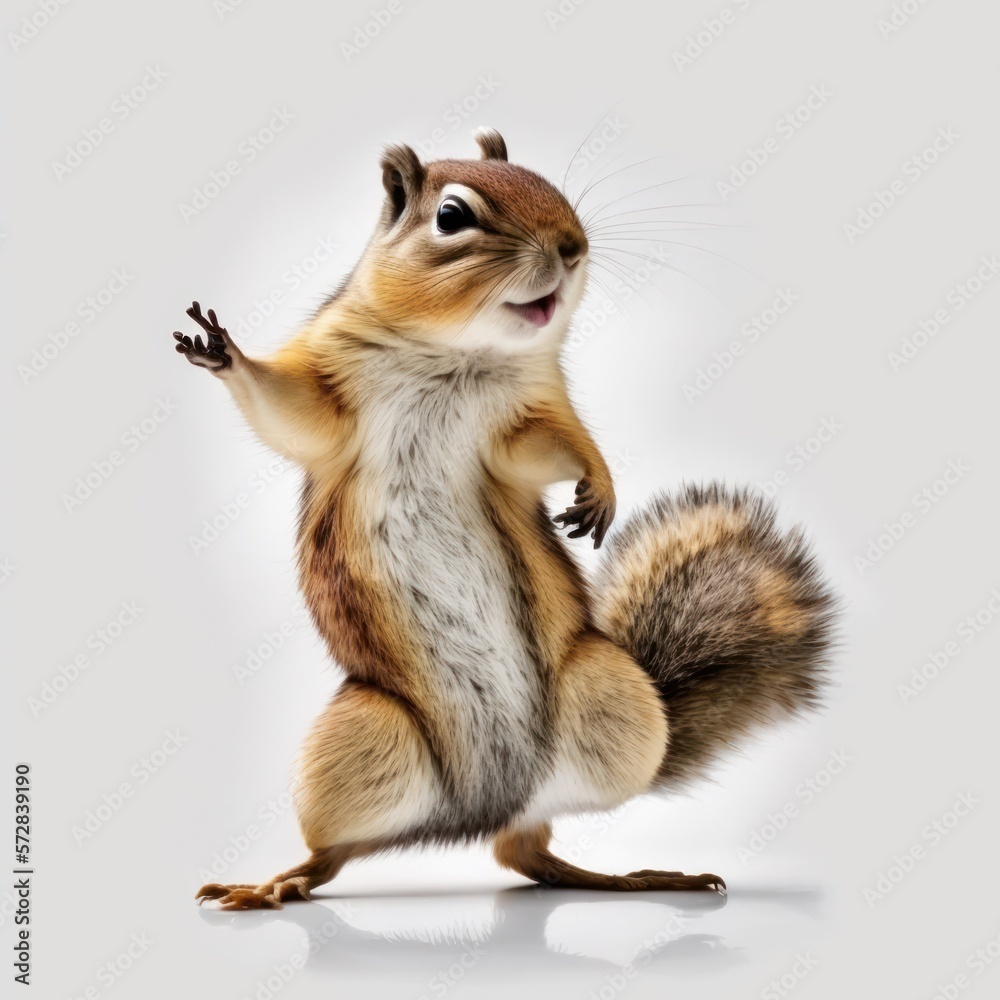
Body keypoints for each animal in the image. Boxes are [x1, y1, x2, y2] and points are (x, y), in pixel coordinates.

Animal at [175, 128, 837, 910]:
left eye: (546, 183)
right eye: (452, 216)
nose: (573, 246)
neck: (457, 352)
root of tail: (472, 811)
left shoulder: (531, 411)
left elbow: (553, 447)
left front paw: (600, 486)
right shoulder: (332, 381)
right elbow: (288, 411)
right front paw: (223, 352)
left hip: (613, 698)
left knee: (529, 851)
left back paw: (630, 877)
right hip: (353, 742)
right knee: (342, 856)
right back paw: (272, 885)